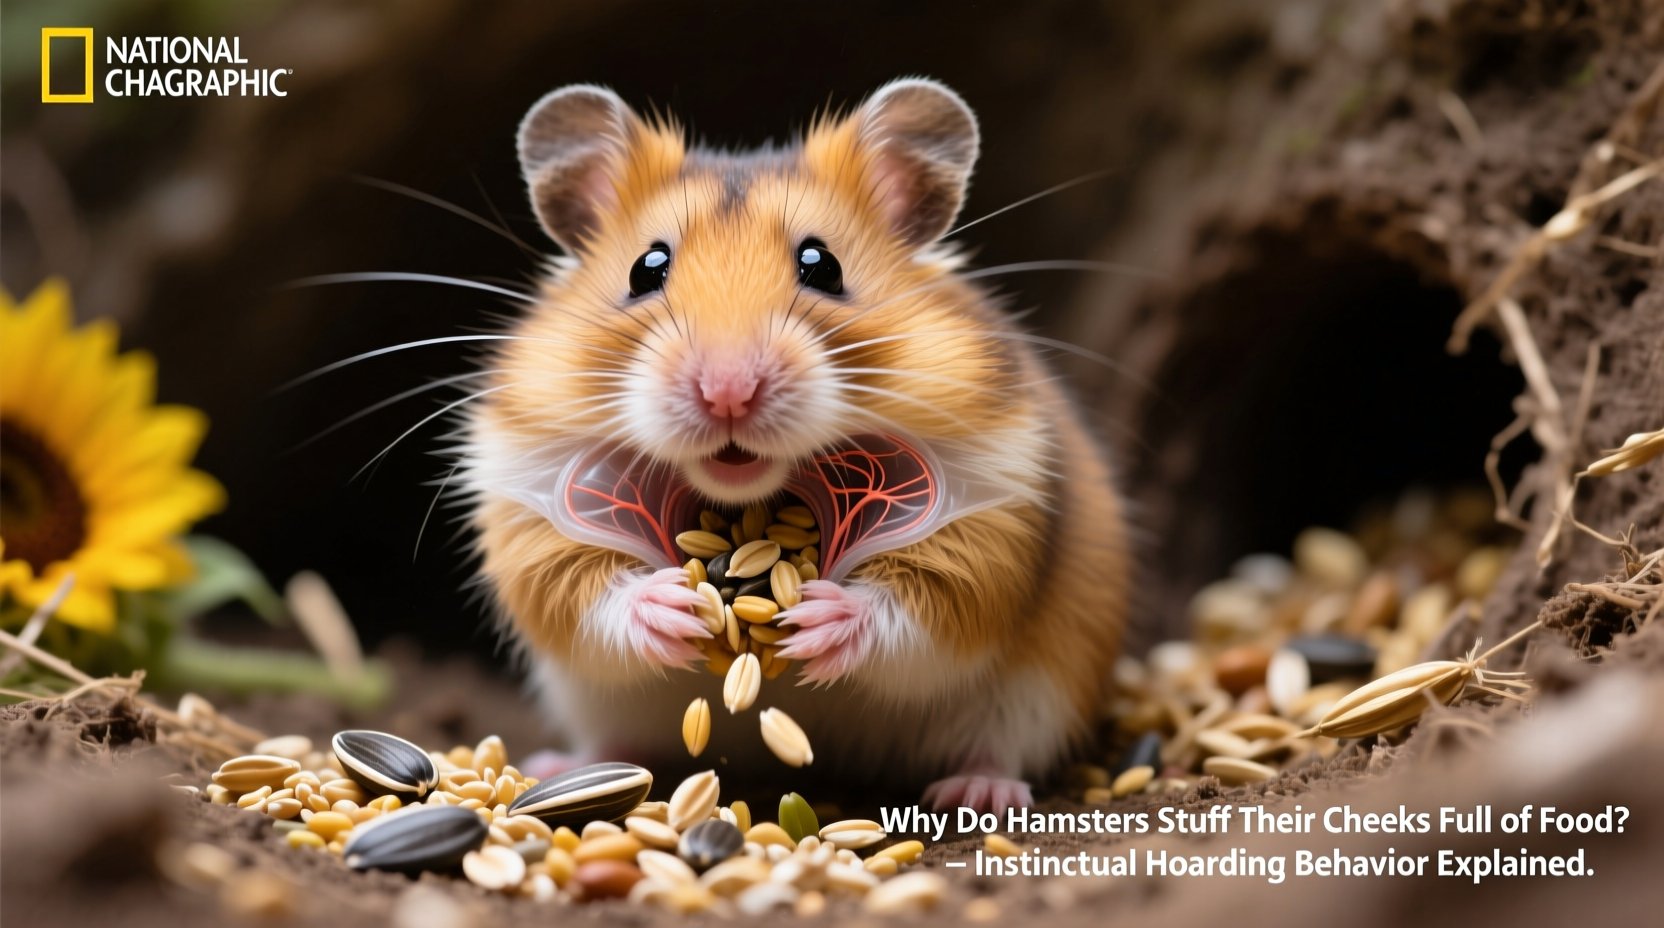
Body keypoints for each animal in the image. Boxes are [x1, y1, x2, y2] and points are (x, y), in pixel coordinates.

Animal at [462, 78, 1128, 814]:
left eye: (822, 265)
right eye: (645, 269)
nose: (727, 392)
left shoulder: (991, 513)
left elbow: (924, 608)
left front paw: (817, 618)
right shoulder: (527, 502)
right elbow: (579, 591)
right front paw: (674, 607)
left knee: (999, 748)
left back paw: (978, 793)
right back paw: (558, 768)